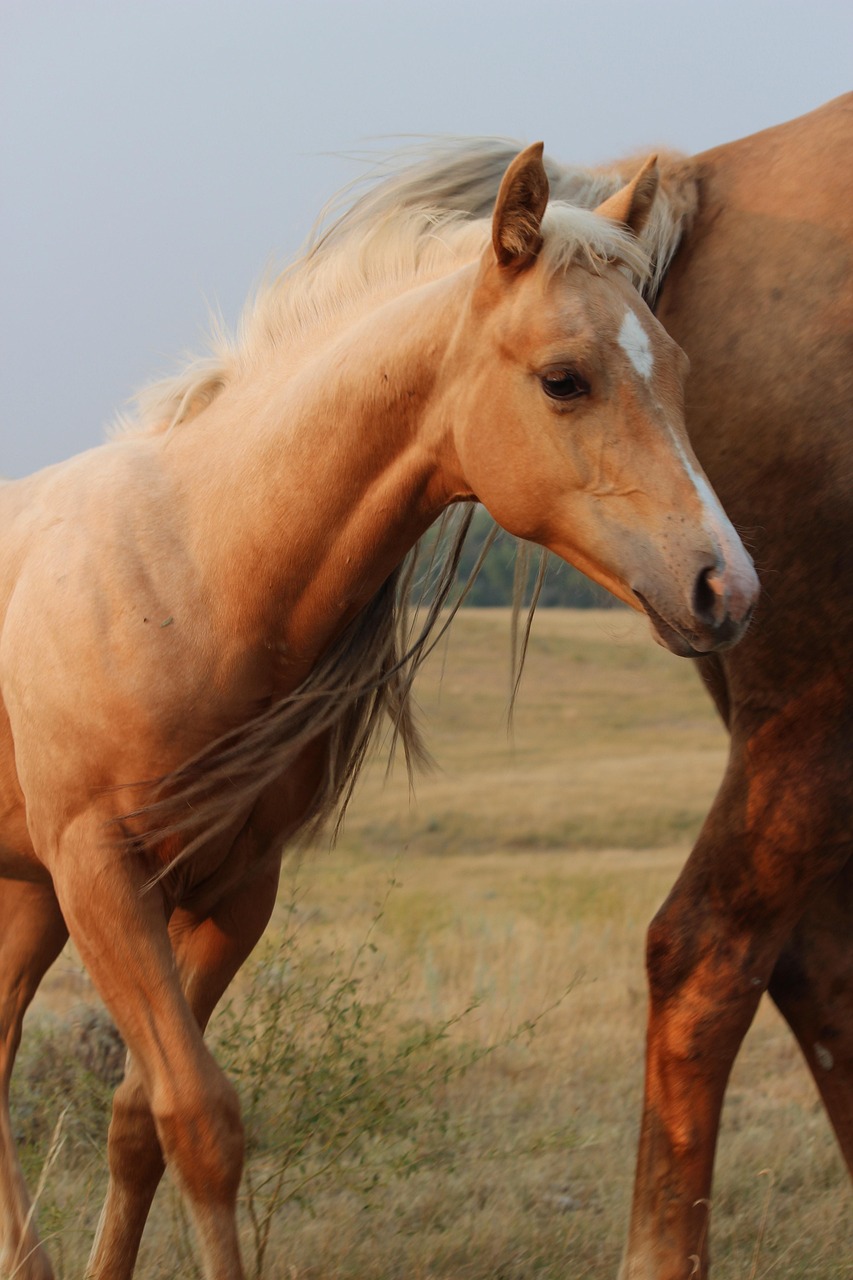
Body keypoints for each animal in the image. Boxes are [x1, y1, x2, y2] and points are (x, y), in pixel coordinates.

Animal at [0, 144, 757, 1278]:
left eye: (673, 365)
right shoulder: (102, 873)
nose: (727, 589)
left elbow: (142, 1120)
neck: (189, 565)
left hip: (28, 891)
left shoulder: (234, 887)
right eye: (563, 378)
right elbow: (200, 1121)